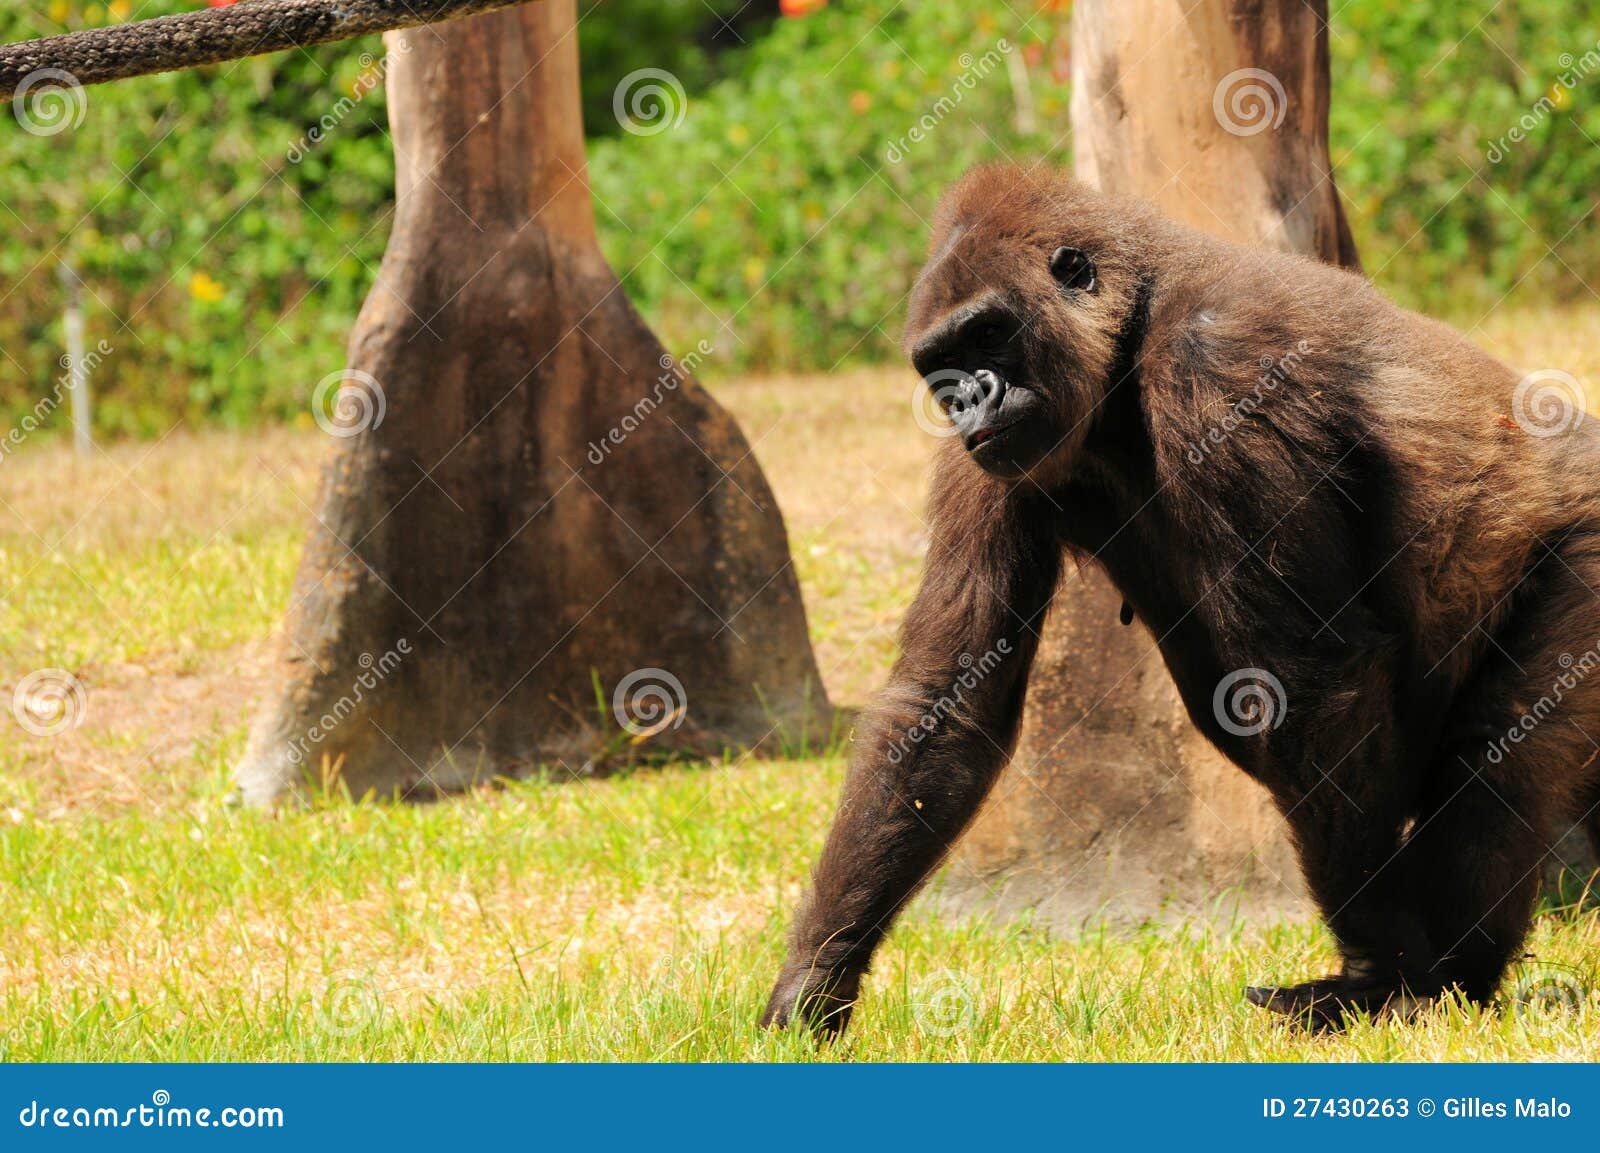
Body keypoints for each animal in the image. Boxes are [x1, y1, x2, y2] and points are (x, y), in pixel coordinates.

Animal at [763, 164, 1600, 1035]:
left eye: (990, 335)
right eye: (943, 367)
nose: (973, 398)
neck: (1131, 330)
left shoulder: (1222, 365)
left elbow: (1313, 677)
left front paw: (1383, 970)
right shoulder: (981, 454)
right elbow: (949, 701)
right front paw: (816, 978)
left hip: (1585, 546)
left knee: (1498, 754)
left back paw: (1459, 975)